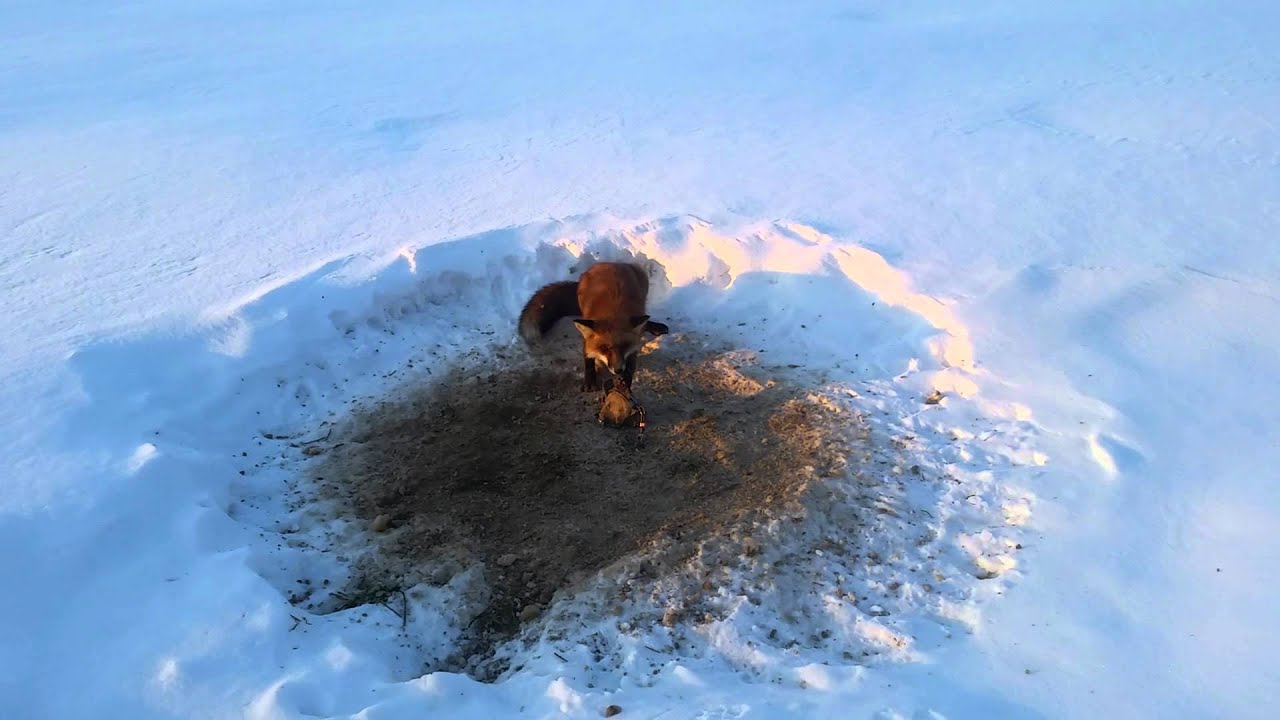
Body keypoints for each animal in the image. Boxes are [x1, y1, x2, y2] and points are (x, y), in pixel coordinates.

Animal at [519, 261, 670, 391]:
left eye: (624, 346)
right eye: (604, 348)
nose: (618, 370)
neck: (613, 311)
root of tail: (608, 263)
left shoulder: (634, 342)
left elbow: (632, 362)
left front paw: (626, 380)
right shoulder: (587, 336)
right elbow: (588, 357)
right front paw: (590, 380)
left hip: (642, 278)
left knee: (644, 321)